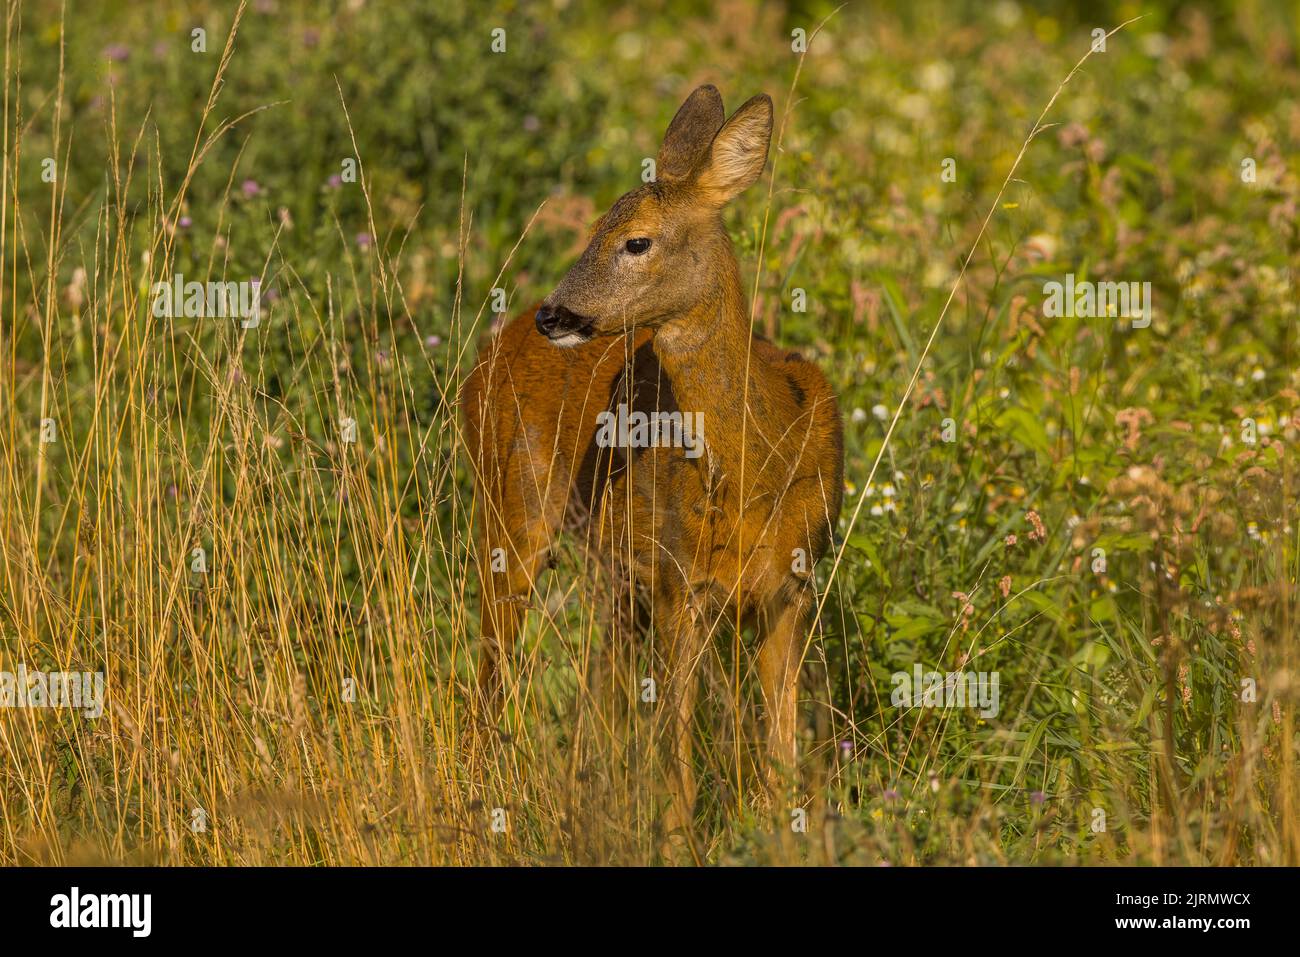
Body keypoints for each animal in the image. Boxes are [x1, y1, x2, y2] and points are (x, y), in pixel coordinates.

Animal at [461, 84, 843, 840]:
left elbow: (781, 758)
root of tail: (488, 354)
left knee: (595, 693)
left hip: (610, 575)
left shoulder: (791, 588)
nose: (555, 314)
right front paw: (675, 838)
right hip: (511, 513)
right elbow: (678, 758)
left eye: (636, 240)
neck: (758, 464)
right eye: (593, 227)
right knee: (491, 673)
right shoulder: (676, 584)